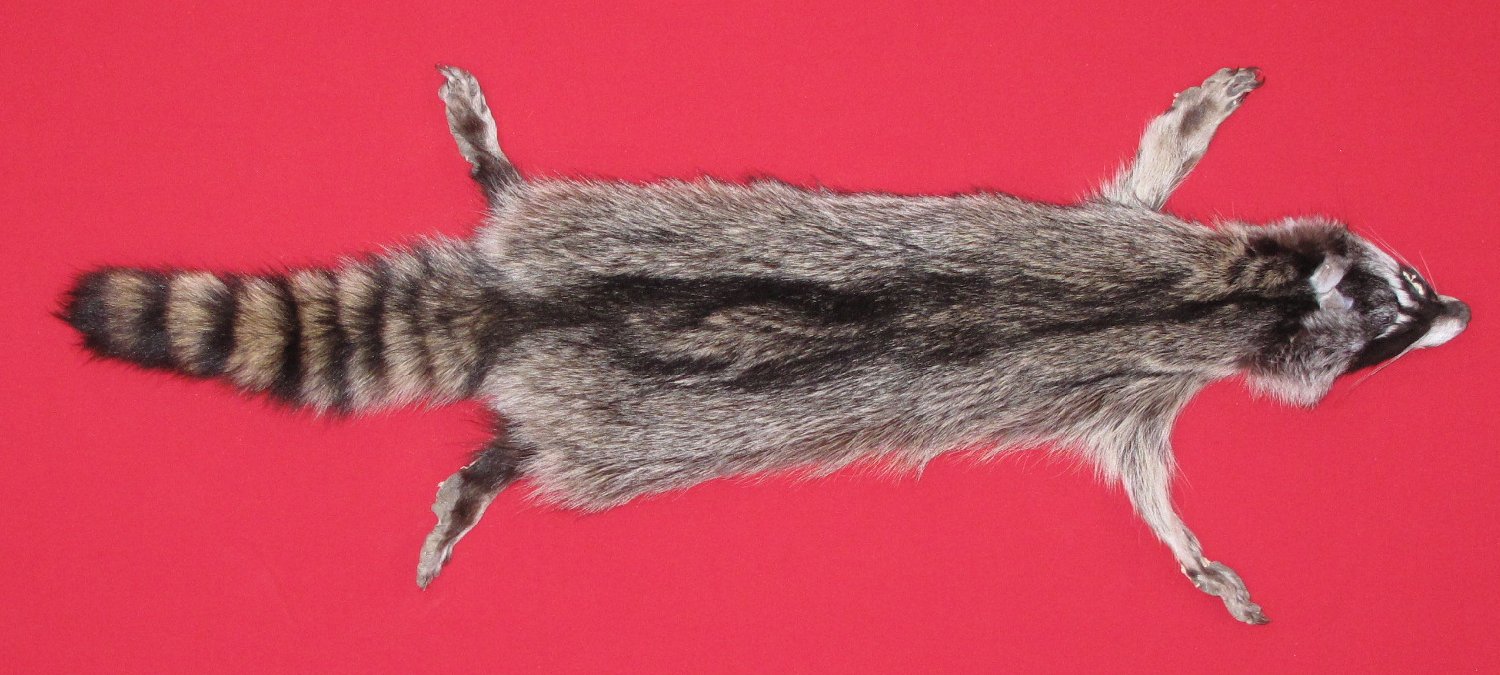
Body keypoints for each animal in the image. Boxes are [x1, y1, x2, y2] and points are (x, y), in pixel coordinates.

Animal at [60, 66, 1469, 624]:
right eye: (1399, 309)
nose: (1459, 313)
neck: (1238, 303)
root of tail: (518, 312)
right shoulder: (1140, 346)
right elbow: (1157, 494)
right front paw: (1205, 568)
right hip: (617, 429)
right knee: (533, 454)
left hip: (605, 224)